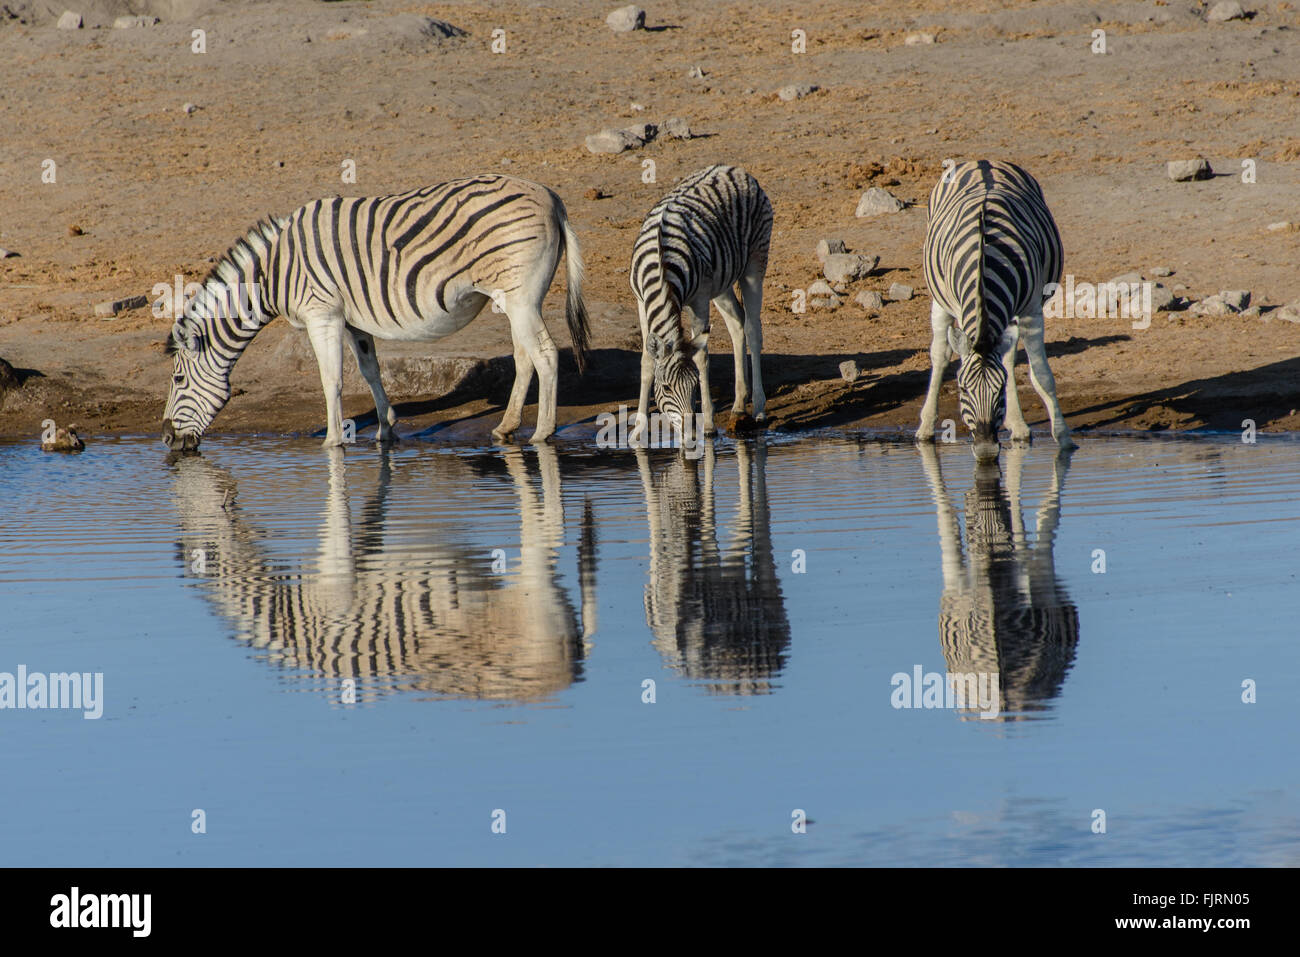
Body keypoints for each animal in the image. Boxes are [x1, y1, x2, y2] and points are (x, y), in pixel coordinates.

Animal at [163, 174, 590, 451]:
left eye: (179, 380)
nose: (166, 438)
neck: (275, 273)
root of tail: (550, 196)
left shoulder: (322, 314)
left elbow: (331, 379)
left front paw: (333, 442)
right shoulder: (353, 321)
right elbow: (370, 371)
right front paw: (387, 429)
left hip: (520, 297)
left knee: (545, 354)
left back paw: (542, 433)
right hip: (513, 300)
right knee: (525, 355)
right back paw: (506, 426)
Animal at [630, 164, 773, 438]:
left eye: (695, 384)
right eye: (665, 388)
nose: (689, 431)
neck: (662, 264)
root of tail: (734, 169)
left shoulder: (698, 300)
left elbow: (702, 357)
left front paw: (708, 425)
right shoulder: (641, 301)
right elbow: (645, 361)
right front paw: (639, 430)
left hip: (754, 262)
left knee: (753, 329)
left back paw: (759, 408)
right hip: (721, 282)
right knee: (737, 324)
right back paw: (739, 404)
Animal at [916, 160, 1074, 461]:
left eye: (999, 388)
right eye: (962, 389)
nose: (987, 450)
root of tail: (982, 161)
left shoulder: (1031, 309)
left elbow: (1042, 375)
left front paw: (1063, 439)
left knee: (1008, 358)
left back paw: (1018, 425)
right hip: (939, 299)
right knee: (940, 354)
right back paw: (926, 427)